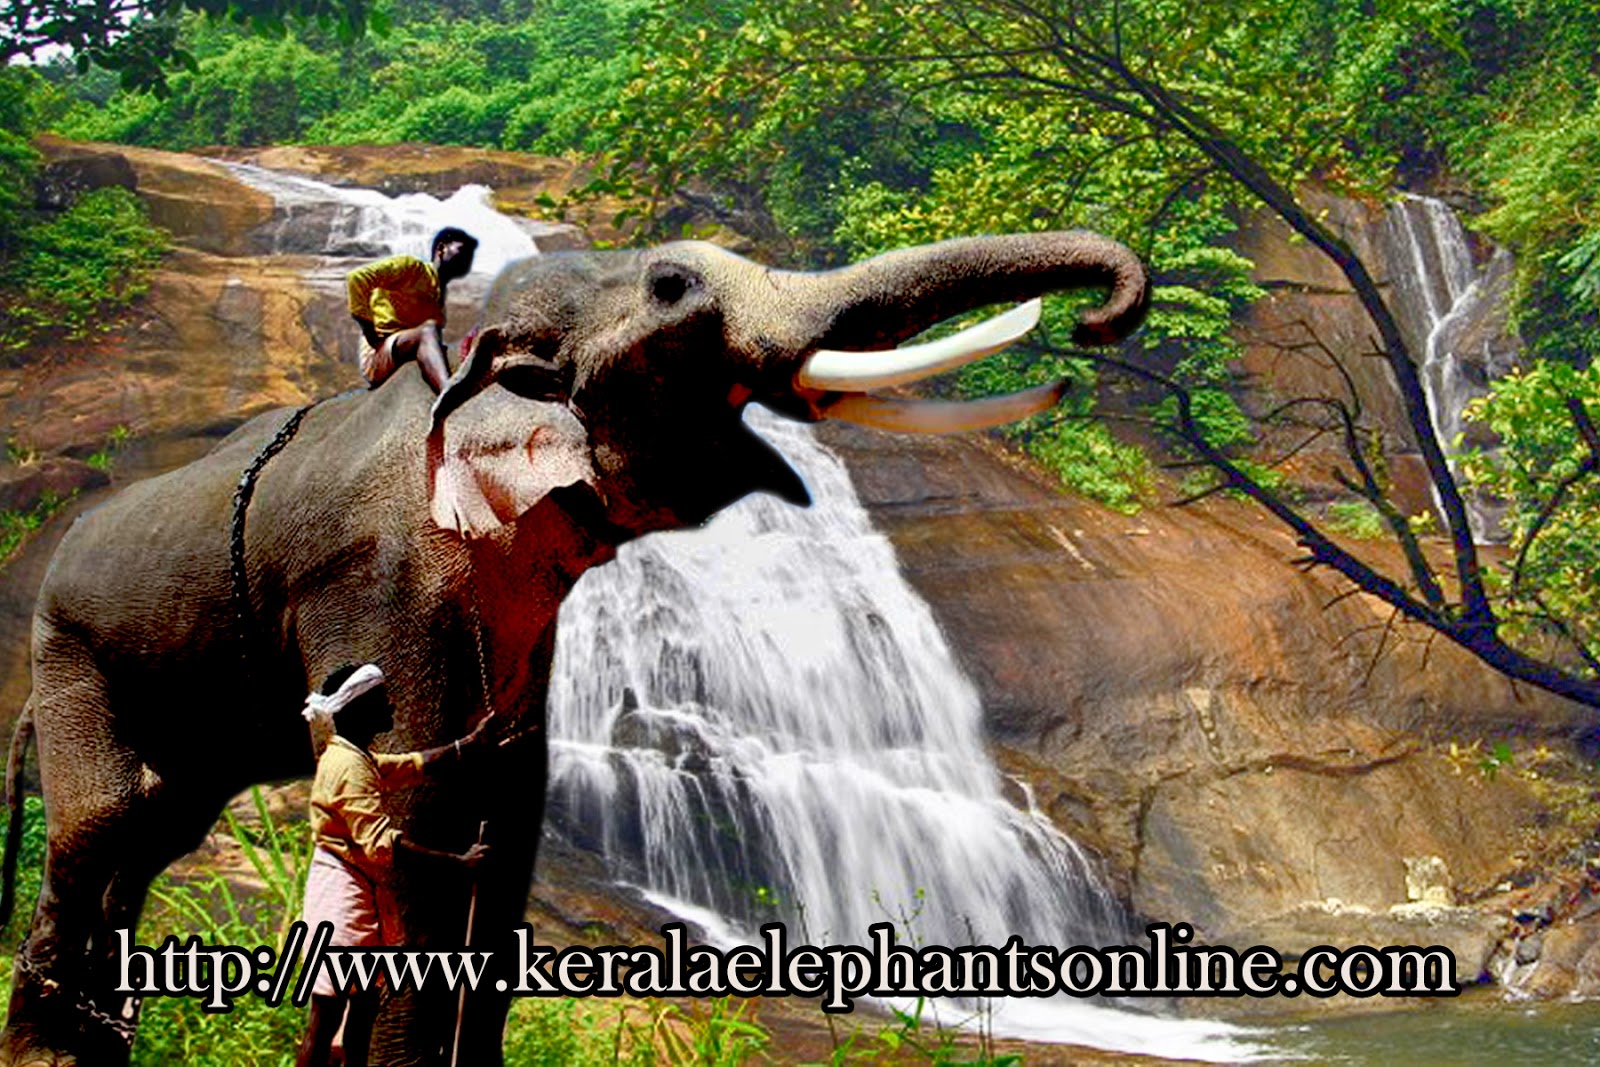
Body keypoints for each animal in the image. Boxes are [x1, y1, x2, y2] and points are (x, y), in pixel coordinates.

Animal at [0, 230, 1146, 1065]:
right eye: (673, 285)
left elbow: (510, 824)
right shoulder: (373, 582)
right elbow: (414, 818)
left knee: (158, 831)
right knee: (101, 823)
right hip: (70, 646)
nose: (1100, 319)